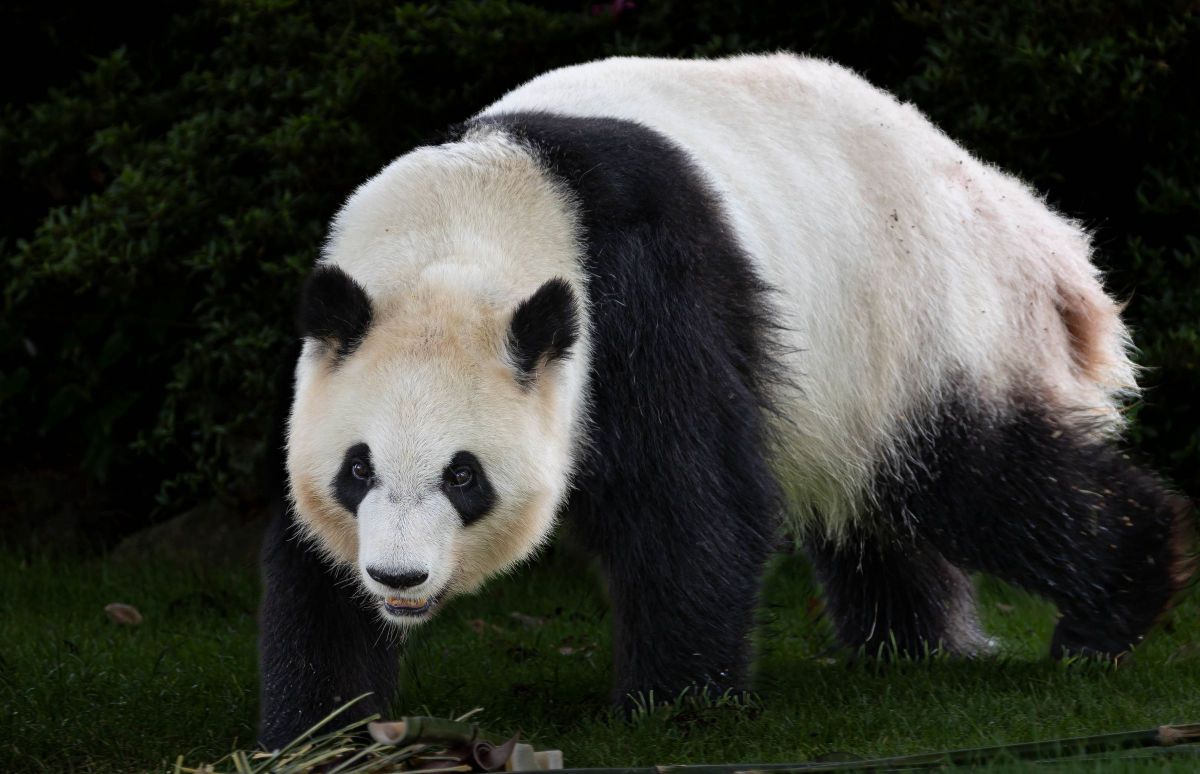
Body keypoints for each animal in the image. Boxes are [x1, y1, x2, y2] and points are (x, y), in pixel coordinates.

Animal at [258, 54, 1196, 747]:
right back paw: (911, 647)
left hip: (917, 318)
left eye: (464, 477)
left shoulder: (641, 296)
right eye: (357, 469)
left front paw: (674, 708)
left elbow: (691, 501)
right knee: (881, 505)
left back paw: (1109, 614)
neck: (473, 218)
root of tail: (1031, 231)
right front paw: (322, 729)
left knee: (985, 476)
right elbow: (308, 559)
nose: (398, 577)